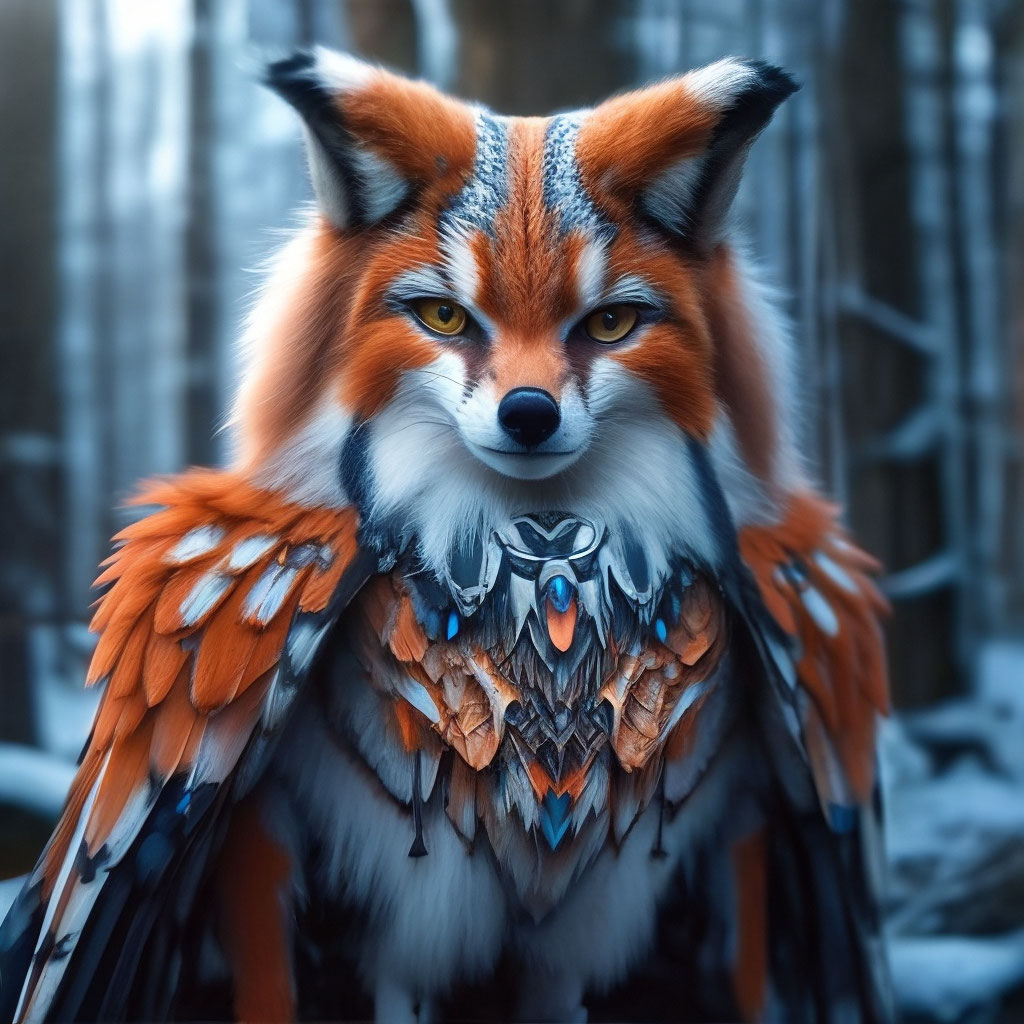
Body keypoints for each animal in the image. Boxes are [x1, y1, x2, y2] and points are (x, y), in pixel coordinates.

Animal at [0, 49, 891, 1022]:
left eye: (609, 323)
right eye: (445, 317)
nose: (529, 414)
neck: (546, 579)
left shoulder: (661, 886)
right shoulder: (345, 891)